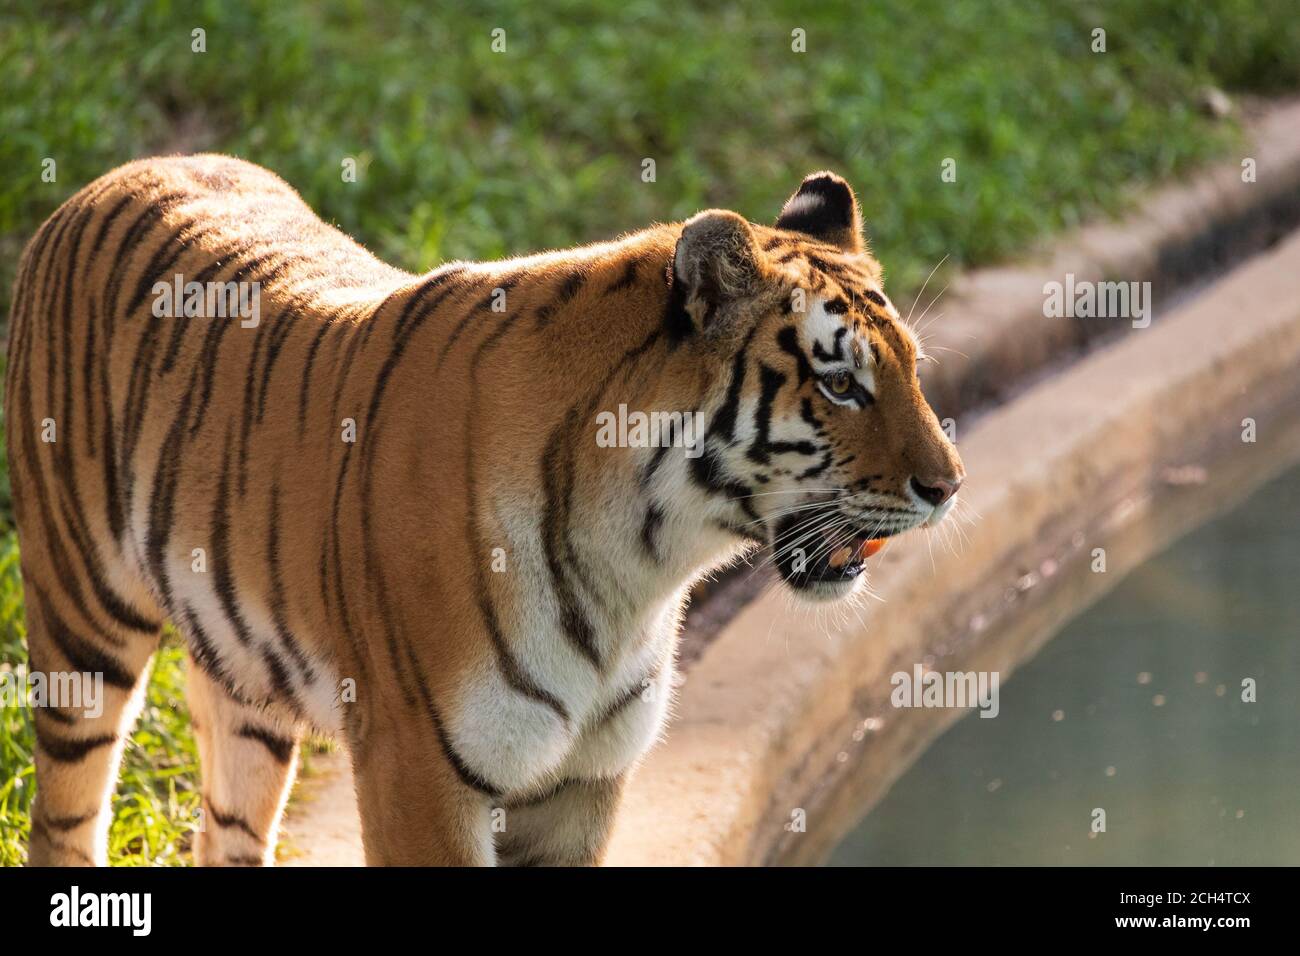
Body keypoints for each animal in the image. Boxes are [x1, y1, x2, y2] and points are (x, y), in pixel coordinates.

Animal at [5, 155, 964, 866]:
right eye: (839, 384)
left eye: (910, 369)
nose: (949, 486)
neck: (641, 565)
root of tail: (109, 178)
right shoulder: (418, 770)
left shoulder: (583, 781)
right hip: (83, 623)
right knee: (63, 816)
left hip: (245, 684)